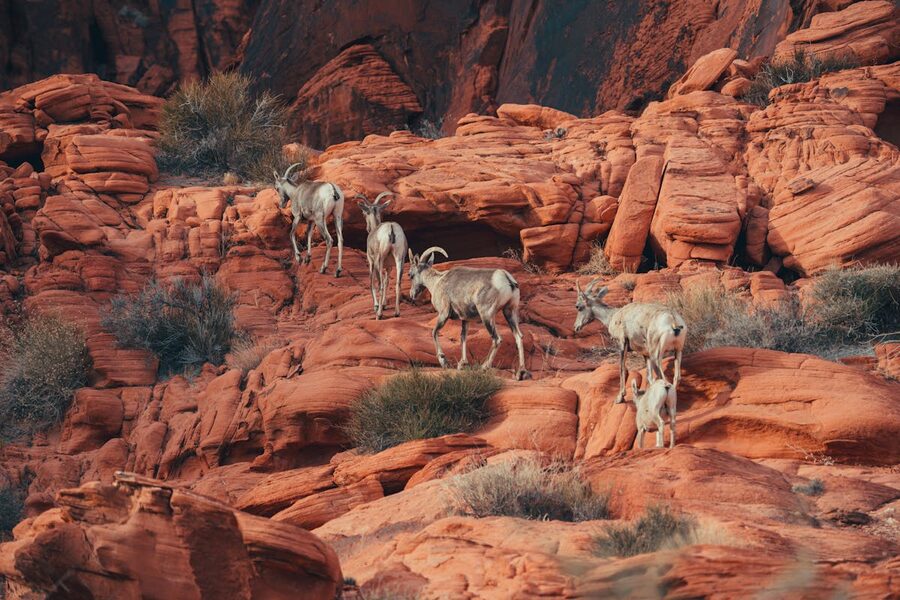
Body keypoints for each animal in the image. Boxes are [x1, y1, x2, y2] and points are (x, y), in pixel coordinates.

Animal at [408, 246, 530, 380]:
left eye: (410, 275)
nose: (412, 295)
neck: (437, 282)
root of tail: (507, 279)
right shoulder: (465, 319)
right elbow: (463, 337)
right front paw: (463, 364)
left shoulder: (444, 314)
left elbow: (434, 332)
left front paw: (443, 361)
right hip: (510, 312)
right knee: (519, 337)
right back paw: (521, 373)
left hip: (486, 315)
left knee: (497, 339)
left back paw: (483, 367)